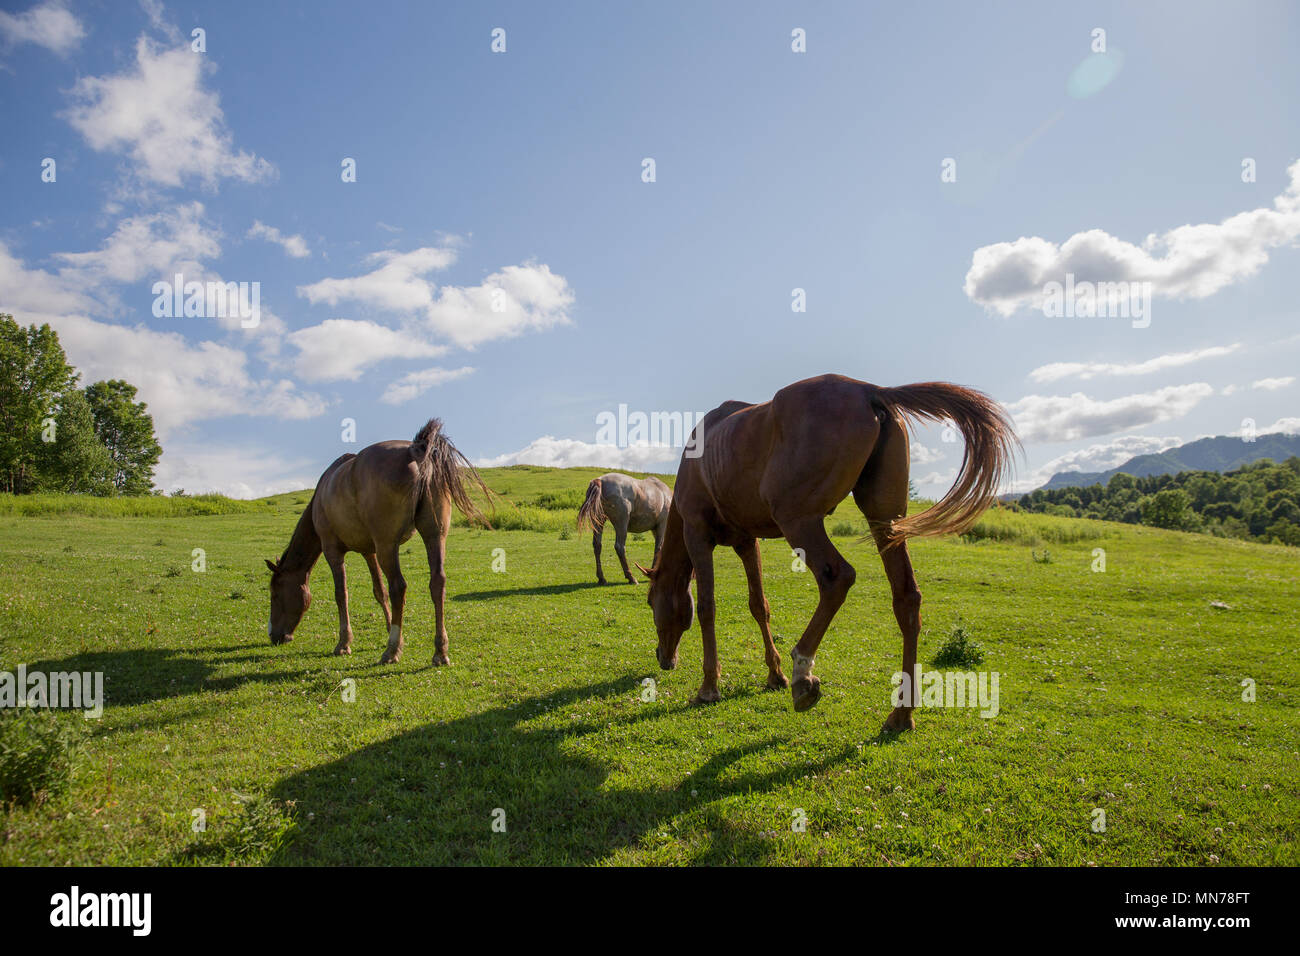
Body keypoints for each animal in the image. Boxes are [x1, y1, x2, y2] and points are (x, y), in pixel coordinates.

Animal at [265, 418, 489, 665]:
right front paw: (391, 630)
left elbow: (341, 593)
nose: (273, 635)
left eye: (275, 594)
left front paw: (345, 642)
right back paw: (439, 650)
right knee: (437, 582)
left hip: (387, 545)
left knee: (398, 586)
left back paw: (392, 651)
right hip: (433, 537)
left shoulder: (333, 550)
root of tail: (416, 449)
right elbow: (379, 590)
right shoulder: (369, 551)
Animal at [637, 373, 1017, 733]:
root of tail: (868, 391)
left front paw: (709, 686)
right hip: (885, 521)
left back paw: (804, 673)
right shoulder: (748, 542)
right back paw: (900, 713)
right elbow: (759, 606)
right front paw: (774, 674)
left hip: (799, 521)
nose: (662, 658)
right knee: (906, 597)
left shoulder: (697, 535)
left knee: (837, 578)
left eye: (650, 602)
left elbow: (707, 608)